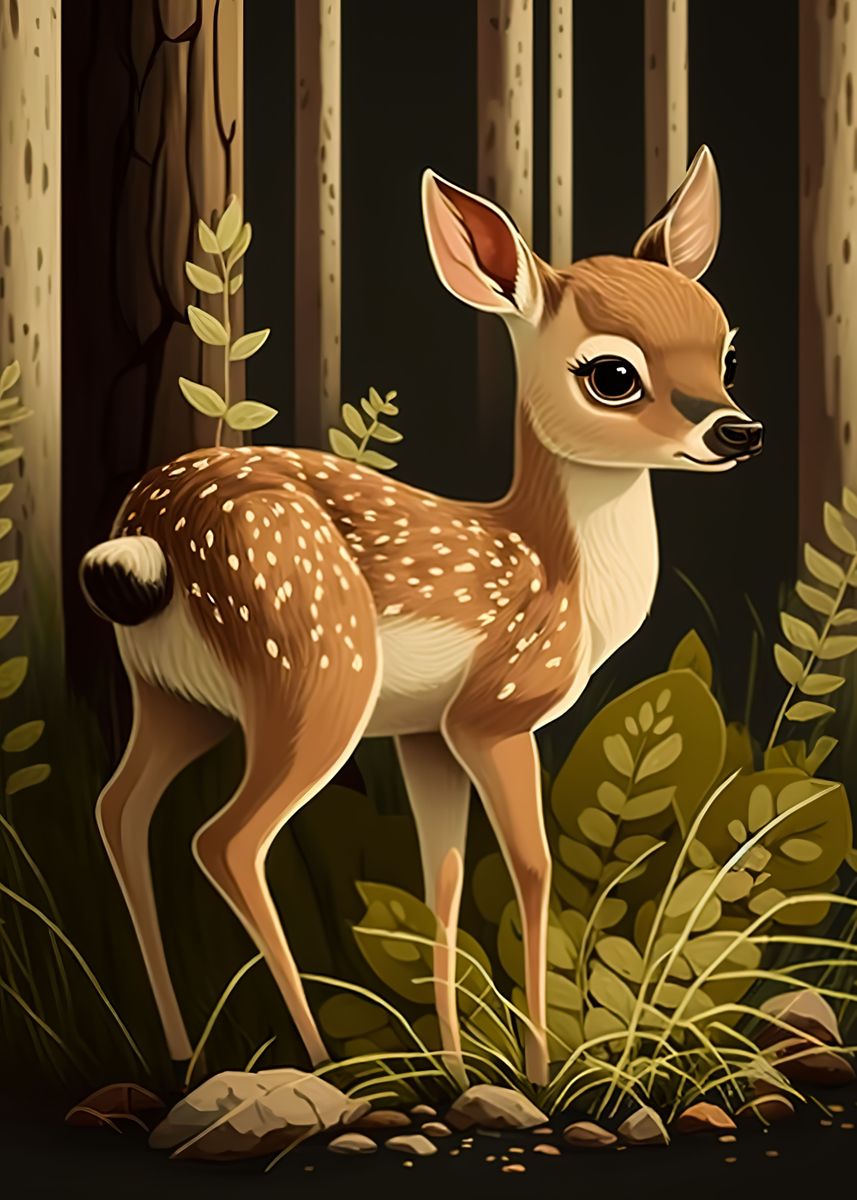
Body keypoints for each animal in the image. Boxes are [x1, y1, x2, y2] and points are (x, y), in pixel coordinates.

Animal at [80, 145, 762, 1089]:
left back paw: (180, 1052)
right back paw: (323, 1061)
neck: (563, 581)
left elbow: (441, 879)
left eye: (726, 350)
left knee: (119, 809)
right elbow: (530, 867)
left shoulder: (423, 732)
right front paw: (541, 1070)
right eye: (612, 374)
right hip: (313, 664)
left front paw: (459, 1070)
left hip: (177, 696)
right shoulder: (494, 712)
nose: (739, 431)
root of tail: (146, 531)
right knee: (226, 839)